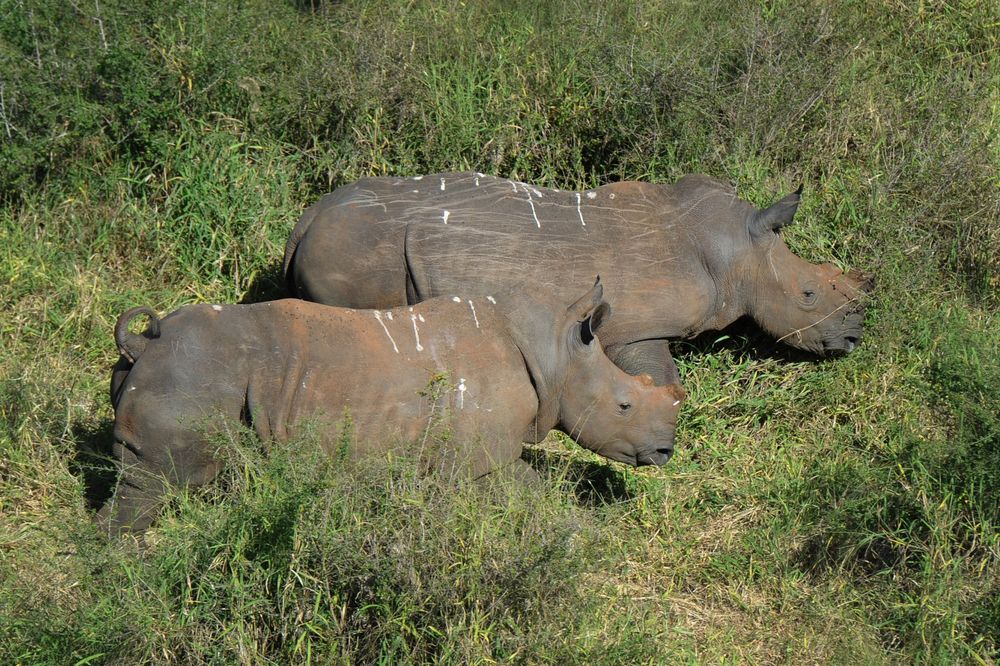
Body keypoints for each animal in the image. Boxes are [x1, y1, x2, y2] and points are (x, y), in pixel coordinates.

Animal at [99, 280, 686, 534]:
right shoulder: (478, 460)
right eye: (625, 405)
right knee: (157, 483)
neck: (555, 355)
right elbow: (532, 492)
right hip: (192, 378)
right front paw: (585, 535)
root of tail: (143, 345)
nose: (666, 450)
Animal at [283, 172, 873, 385]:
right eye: (807, 294)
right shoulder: (636, 329)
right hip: (361, 252)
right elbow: (664, 379)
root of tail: (303, 222)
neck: (736, 252)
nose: (854, 337)